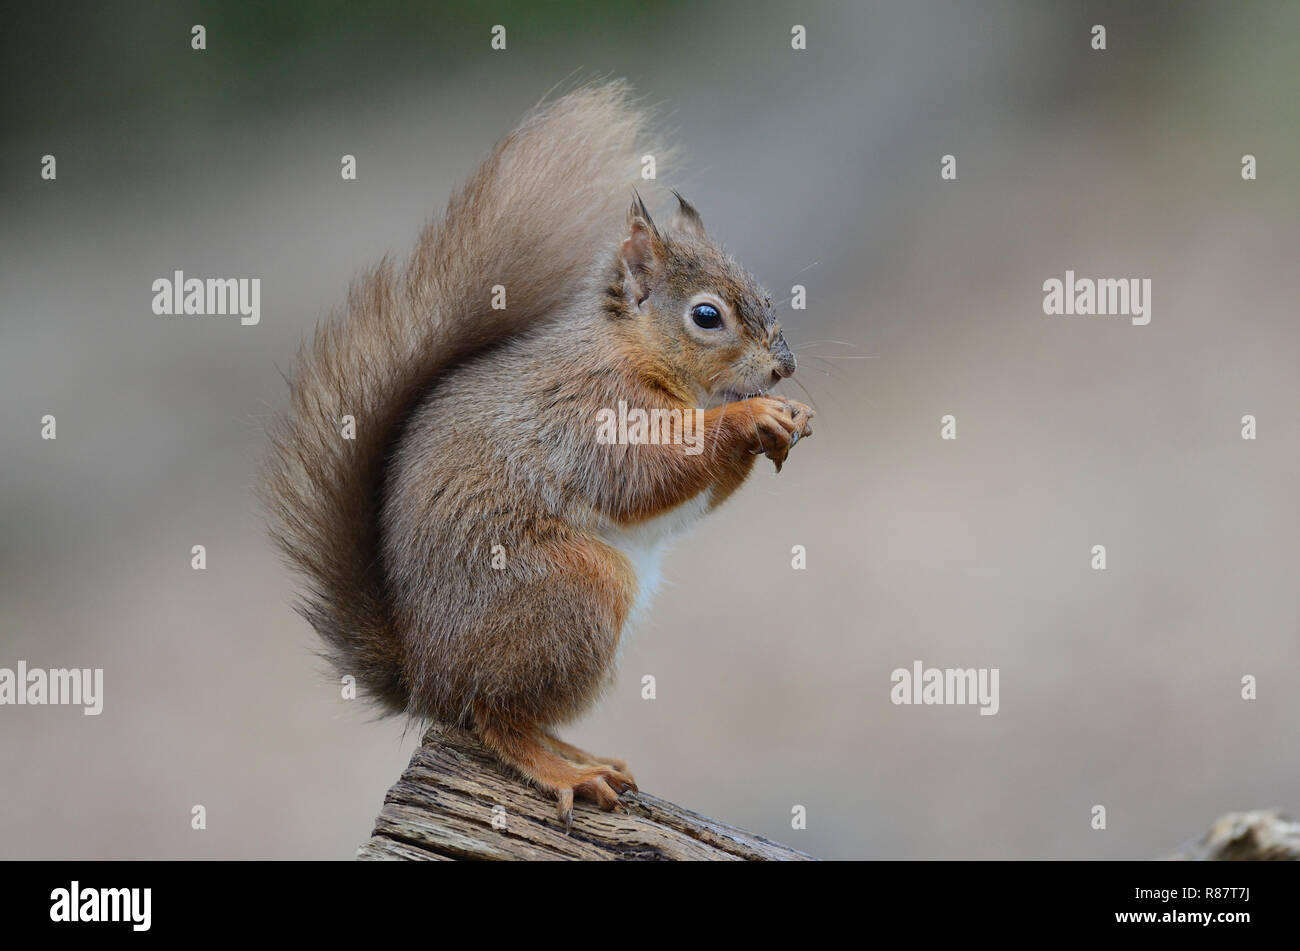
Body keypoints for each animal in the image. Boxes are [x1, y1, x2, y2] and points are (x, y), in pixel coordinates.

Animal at [261, 82, 815, 822]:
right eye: (706, 316)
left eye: (763, 292)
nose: (784, 369)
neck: (634, 351)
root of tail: (426, 678)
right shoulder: (590, 412)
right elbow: (644, 475)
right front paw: (750, 415)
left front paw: (789, 417)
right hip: (573, 590)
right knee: (493, 719)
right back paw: (565, 772)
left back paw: (585, 755)